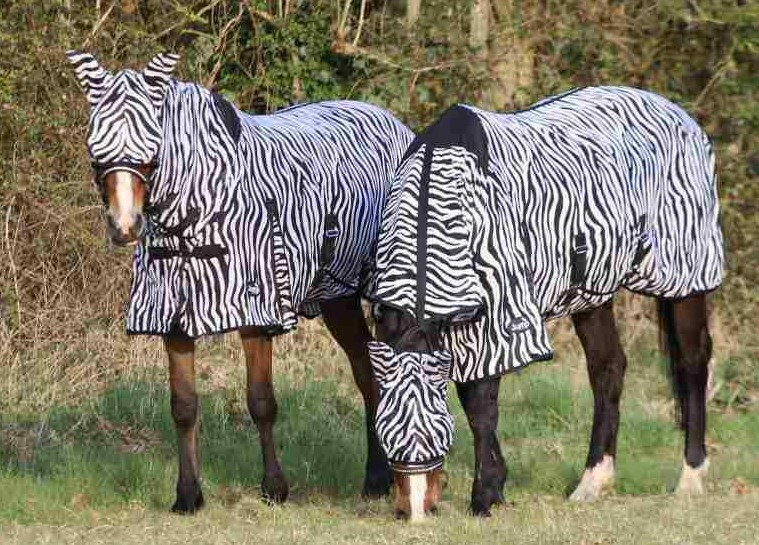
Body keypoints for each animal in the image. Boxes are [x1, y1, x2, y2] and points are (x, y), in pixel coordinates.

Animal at [66, 51, 414, 512]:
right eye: (95, 150)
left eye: (151, 150)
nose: (124, 226)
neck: (198, 214)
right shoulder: (175, 316)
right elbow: (183, 406)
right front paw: (188, 496)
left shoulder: (257, 311)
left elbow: (261, 401)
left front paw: (275, 488)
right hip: (337, 297)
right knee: (368, 374)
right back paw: (377, 480)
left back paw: (383, 479)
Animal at [368, 86, 723, 520]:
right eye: (387, 428)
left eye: (436, 425)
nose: (416, 511)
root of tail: (681, 115)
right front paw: (495, 486)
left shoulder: (500, 319)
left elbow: (480, 406)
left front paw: (485, 495)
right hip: (592, 292)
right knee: (608, 368)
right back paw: (592, 482)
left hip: (684, 279)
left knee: (692, 364)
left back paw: (690, 478)